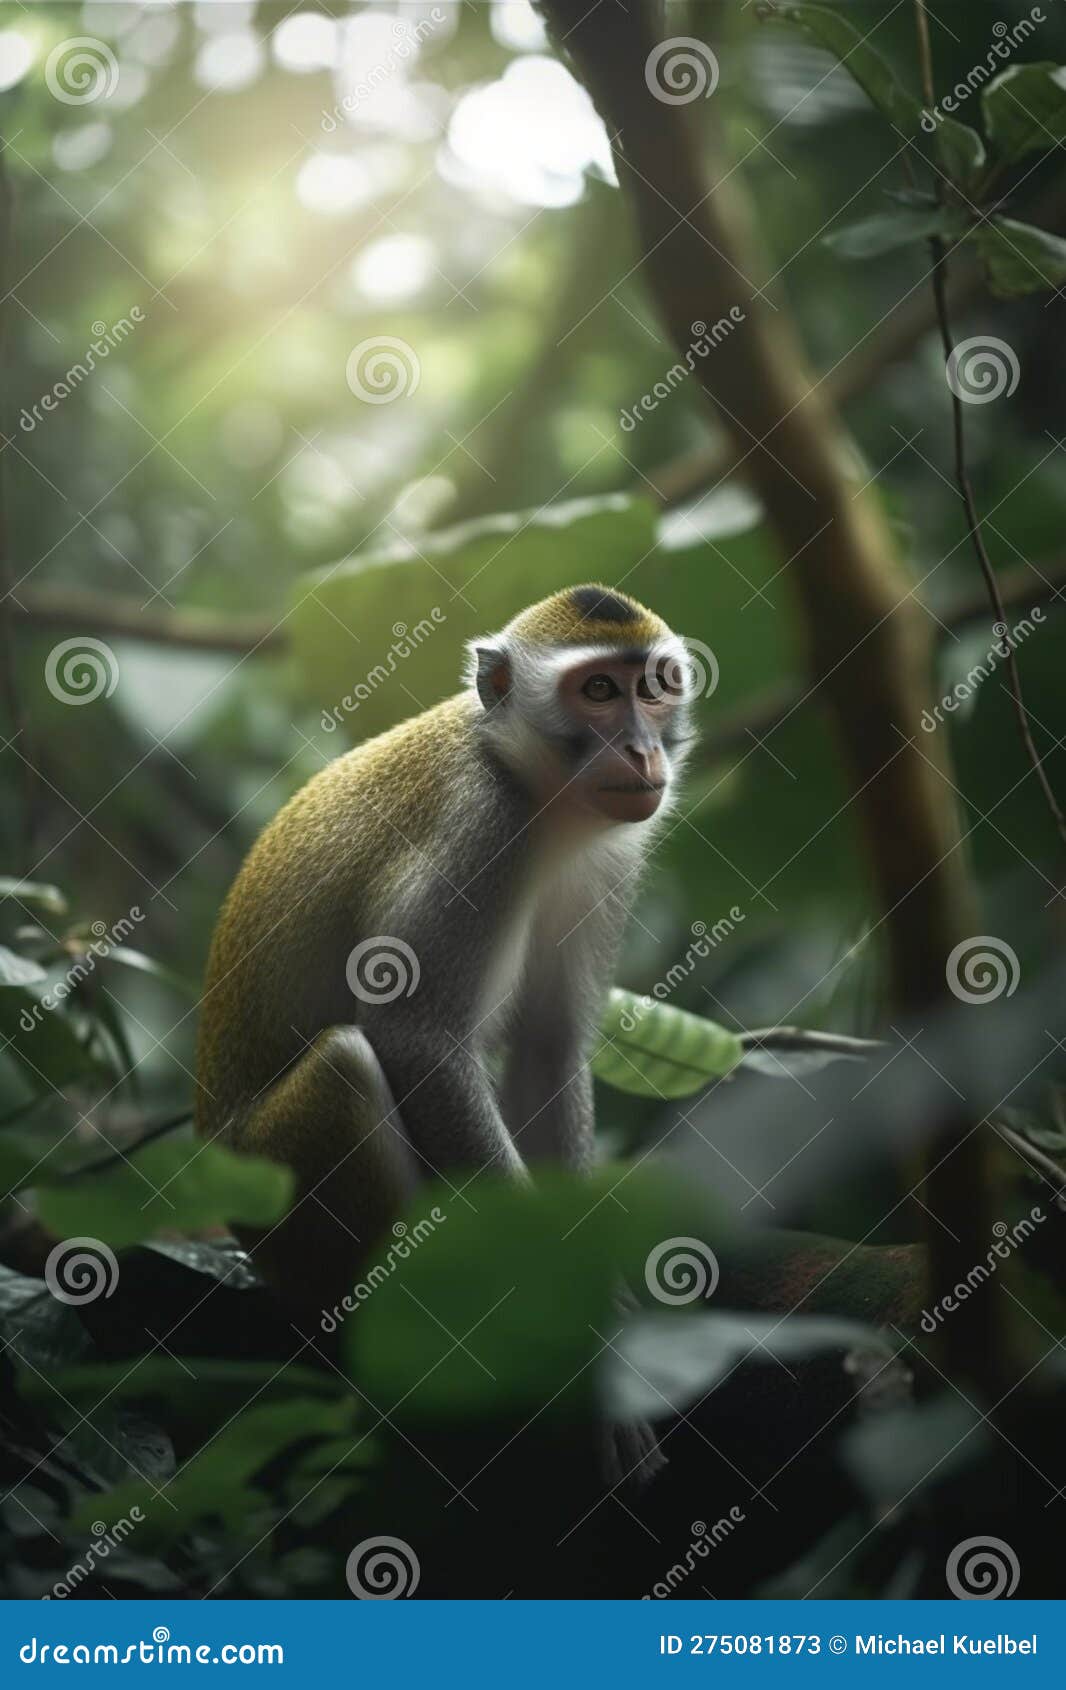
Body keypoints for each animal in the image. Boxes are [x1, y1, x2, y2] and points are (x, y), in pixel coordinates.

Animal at [195, 584, 694, 1485]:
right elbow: (416, 1040)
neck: (537, 793)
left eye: (655, 687)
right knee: (346, 1064)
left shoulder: (611, 857)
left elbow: (548, 1050)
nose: (643, 753)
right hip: (264, 1189)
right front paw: (584, 1337)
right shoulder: (477, 832)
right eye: (599, 691)